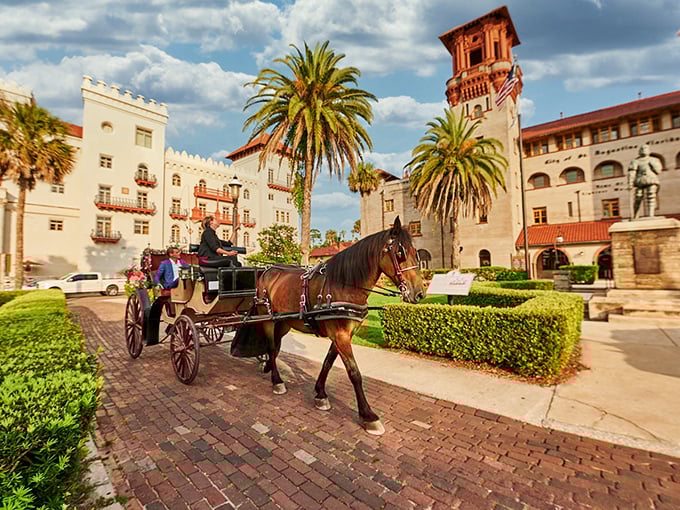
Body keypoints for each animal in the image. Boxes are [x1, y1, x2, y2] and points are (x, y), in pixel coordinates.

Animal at [250, 216, 424, 435]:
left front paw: (320, 393)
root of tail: (267, 270)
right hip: (267, 317)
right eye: (400, 253)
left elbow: (328, 362)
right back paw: (277, 380)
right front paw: (368, 415)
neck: (344, 285)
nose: (419, 293)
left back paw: (268, 367)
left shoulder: (342, 334)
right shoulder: (340, 335)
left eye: (416, 253)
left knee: (275, 346)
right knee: (272, 347)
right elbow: (354, 373)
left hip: (284, 322)